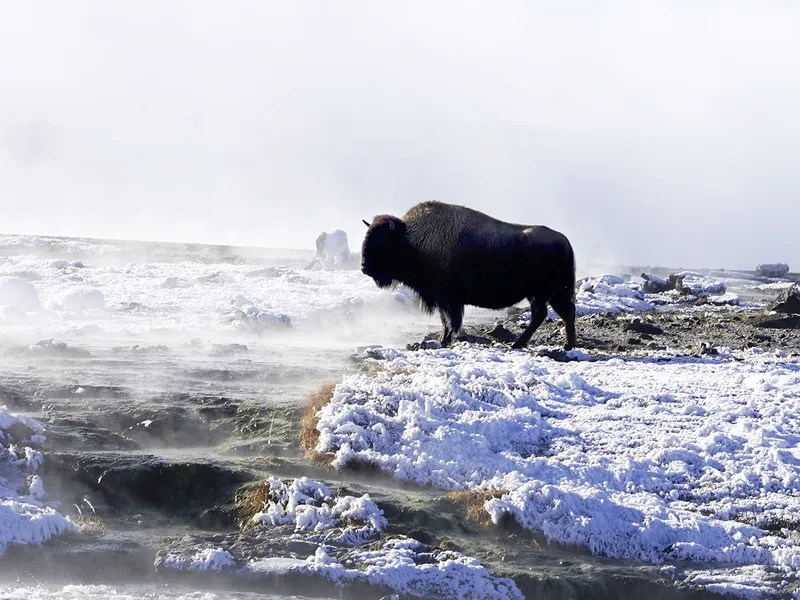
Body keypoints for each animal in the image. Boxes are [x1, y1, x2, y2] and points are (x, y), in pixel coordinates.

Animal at [360, 200, 576, 350]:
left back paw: (519, 344)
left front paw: (447, 340)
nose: (364, 268)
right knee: (567, 312)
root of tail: (565, 241)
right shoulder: (444, 299)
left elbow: (451, 320)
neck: (410, 240)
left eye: (382, 242)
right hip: (555, 293)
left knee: (541, 315)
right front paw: (443, 339)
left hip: (540, 294)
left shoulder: (448, 298)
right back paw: (567, 345)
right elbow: (445, 320)